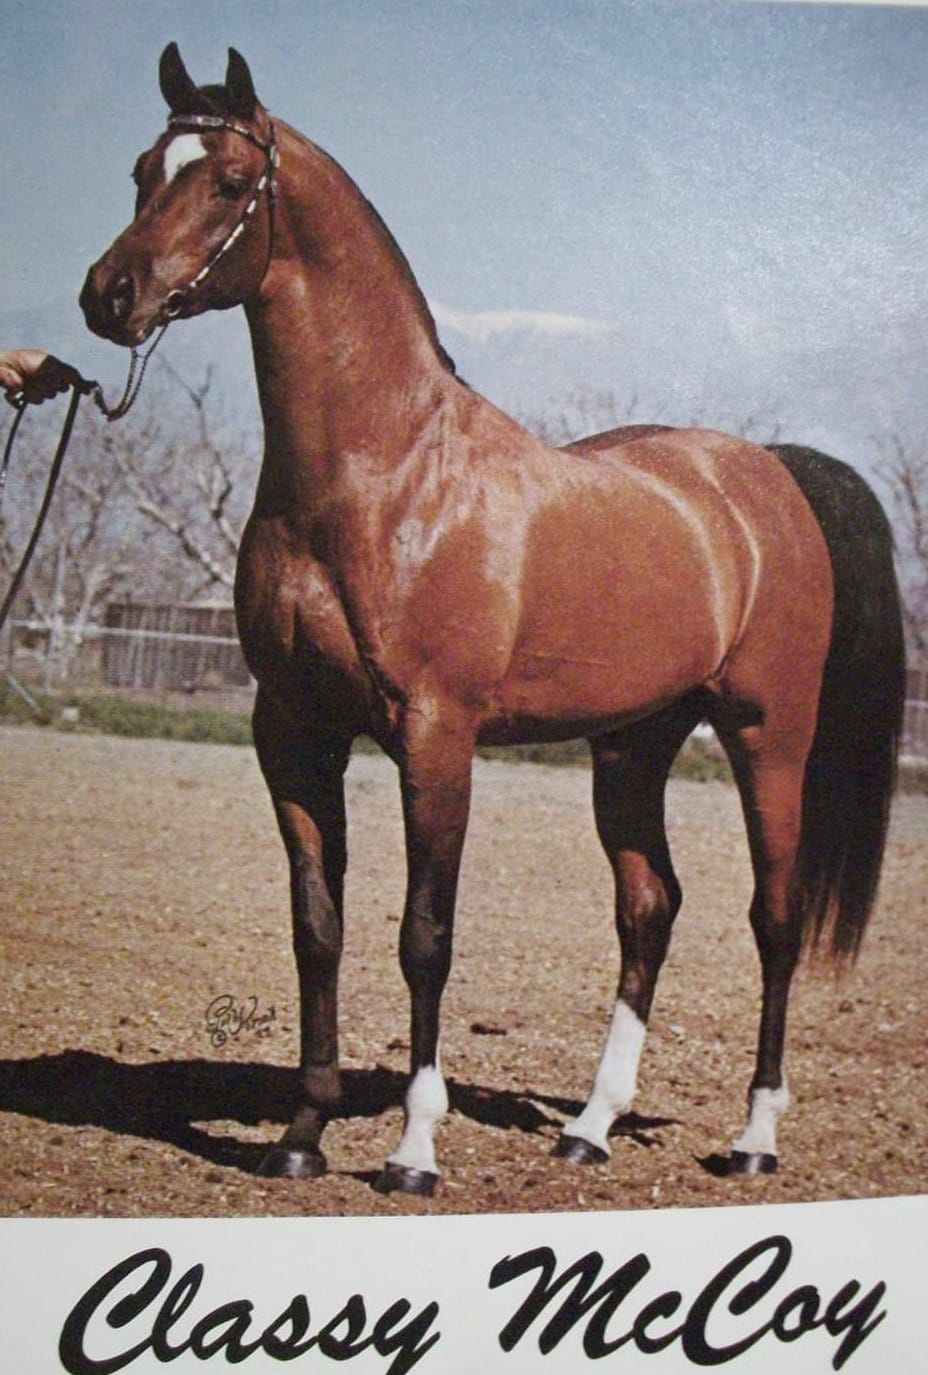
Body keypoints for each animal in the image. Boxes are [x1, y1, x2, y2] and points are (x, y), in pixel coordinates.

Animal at [80, 45, 906, 1198]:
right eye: (141, 171)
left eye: (230, 182)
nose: (109, 296)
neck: (380, 470)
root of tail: (771, 473)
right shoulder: (290, 730)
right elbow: (317, 926)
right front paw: (301, 1135)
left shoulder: (437, 737)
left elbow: (425, 934)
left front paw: (413, 1150)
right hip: (633, 744)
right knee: (649, 909)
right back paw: (590, 1126)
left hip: (764, 734)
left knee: (773, 919)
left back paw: (753, 1137)